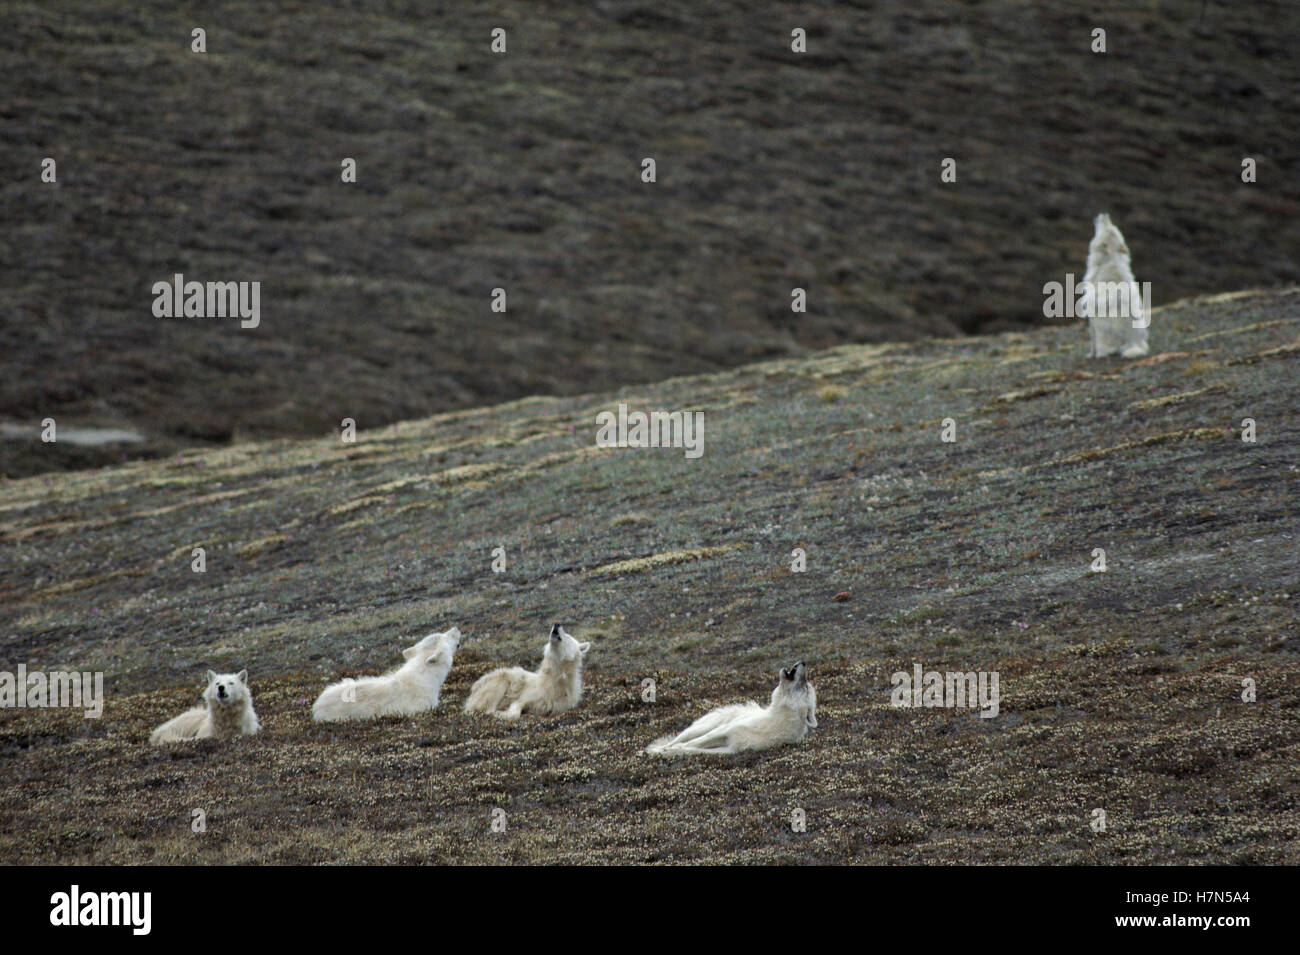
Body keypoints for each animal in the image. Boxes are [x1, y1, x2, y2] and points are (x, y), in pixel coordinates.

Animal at [646, 661, 817, 756]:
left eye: (806, 687)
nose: (803, 662)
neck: (775, 719)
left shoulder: (731, 748)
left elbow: (696, 750)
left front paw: (676, 752)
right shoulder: (726, 730)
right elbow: (694, 743)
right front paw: (664, 752)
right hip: (702, 727)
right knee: (677, 739)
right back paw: (651, 750)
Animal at [1080, 212, 1149, 358]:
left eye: (1110, 227)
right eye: (1115, 228)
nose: (1105, 214)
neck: (1107, 260)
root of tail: (1134, 343)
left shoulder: (1091, 316)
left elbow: (1092, 340)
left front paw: (1091, 355)